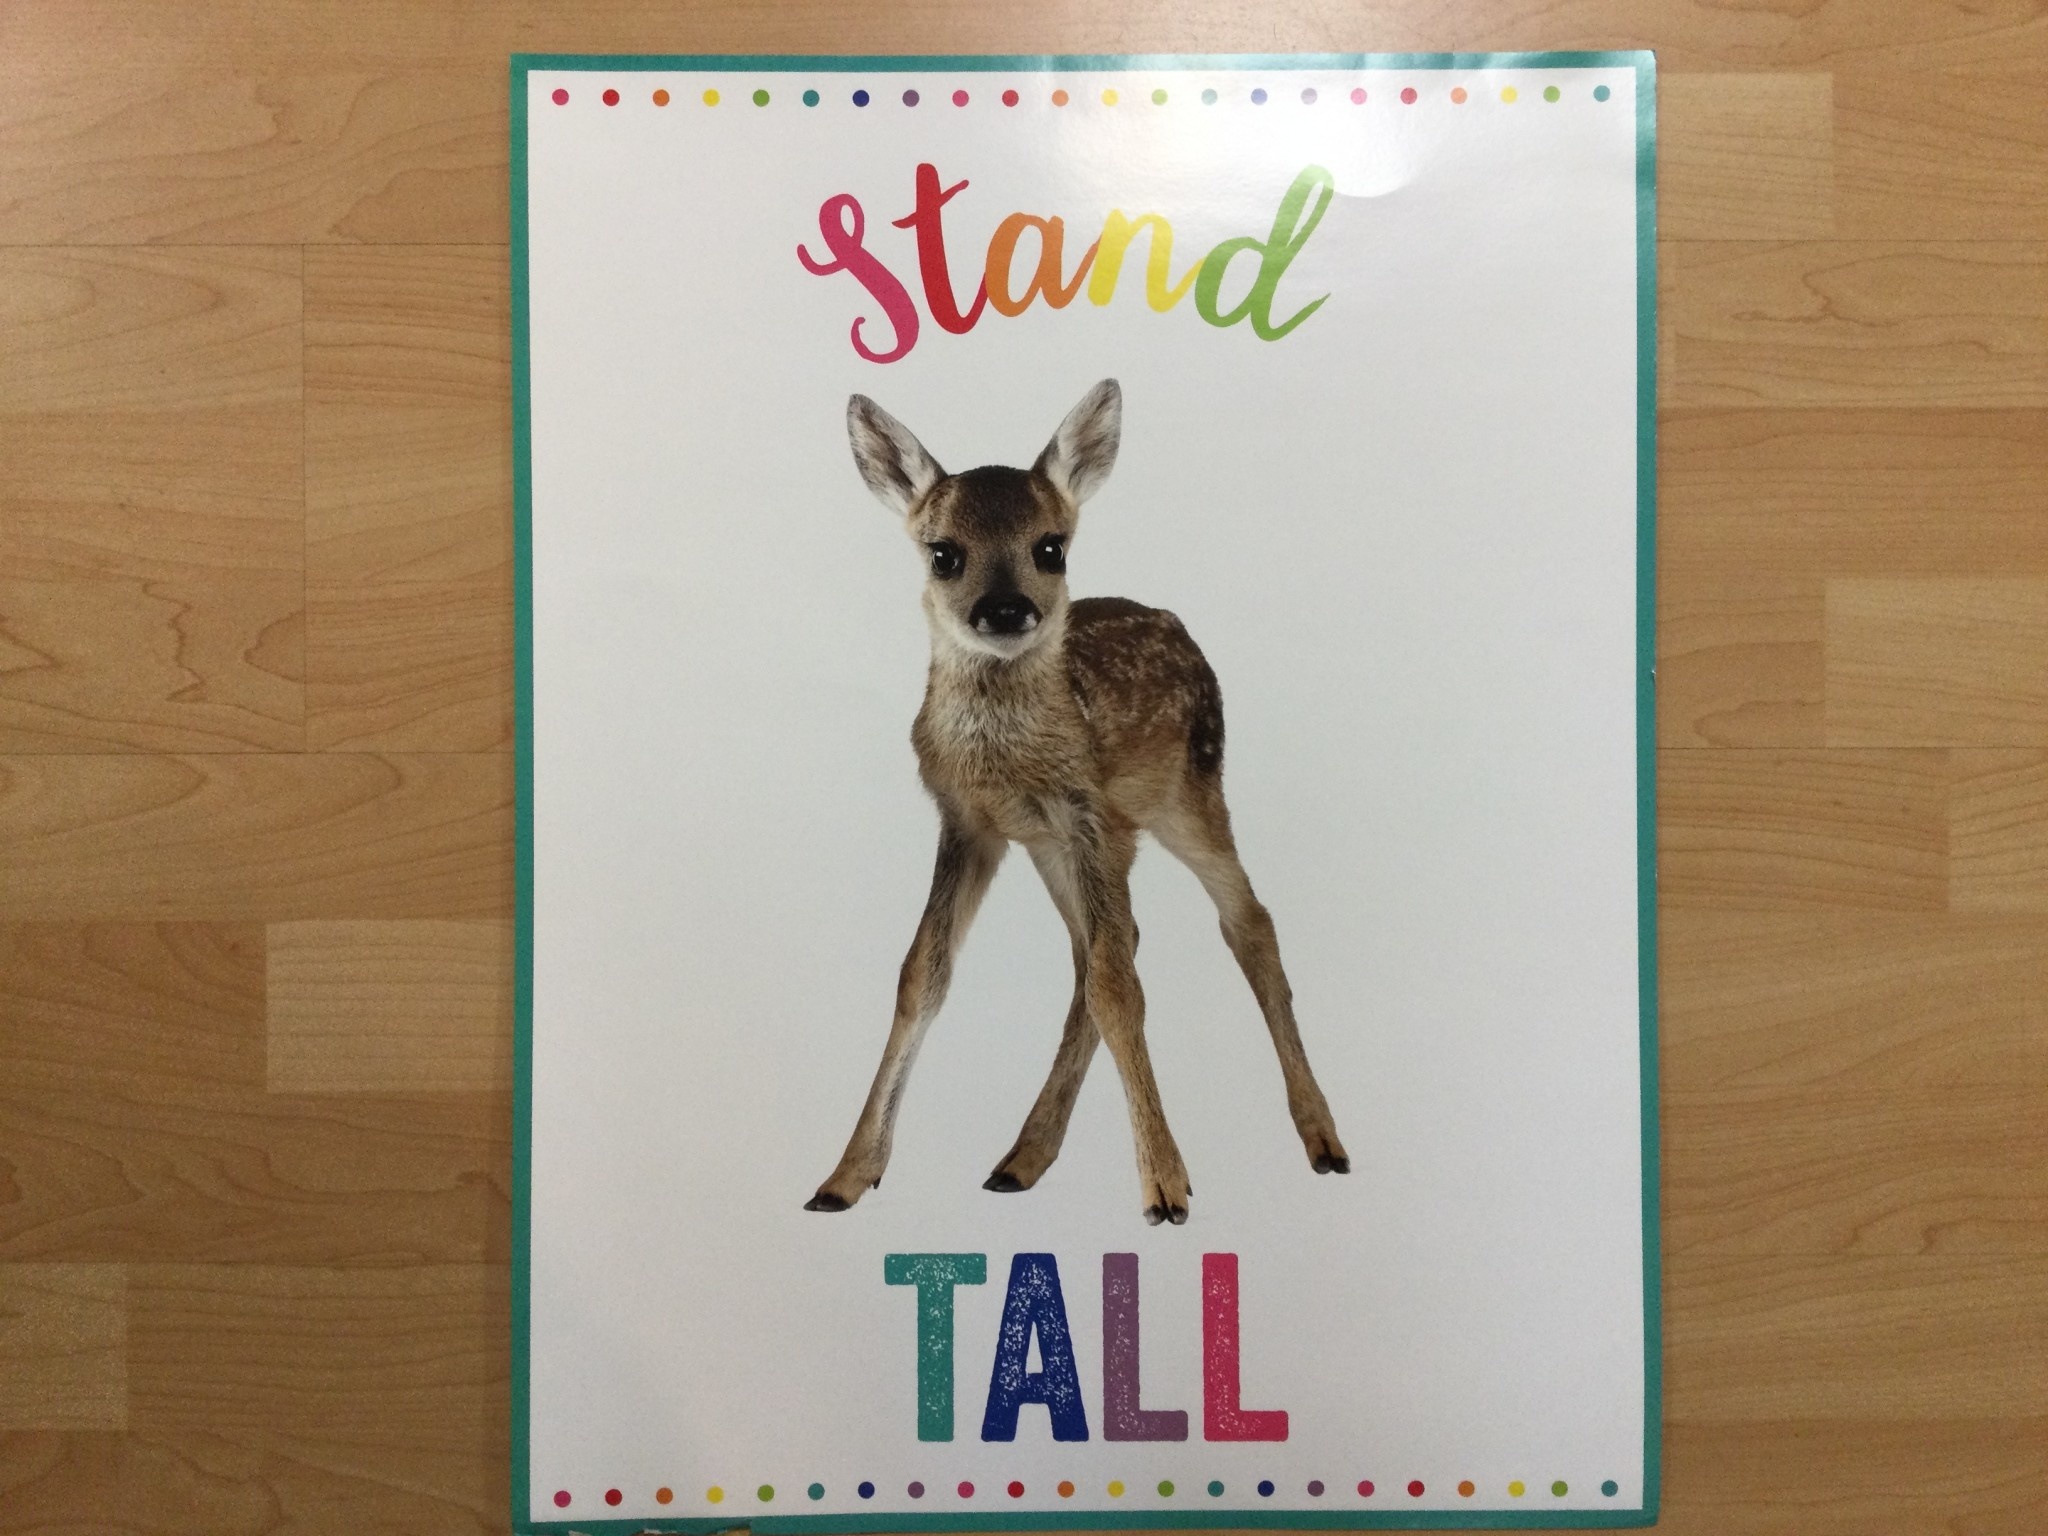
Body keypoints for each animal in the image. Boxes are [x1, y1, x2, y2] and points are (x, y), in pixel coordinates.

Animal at [803, 379, 1348, 1225]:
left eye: (1051, 548)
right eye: (943, 552)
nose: (1005, 611)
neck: (1008, 758)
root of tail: (1176, 624)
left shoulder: (1087, 810)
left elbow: (1117, 987)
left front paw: (1166, 1189)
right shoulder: (973, 823)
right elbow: (923, 973)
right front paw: (844, 1176)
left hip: (1189, 794)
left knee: (1245, 922)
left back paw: (1323, 1140)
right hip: (1066, 847)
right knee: (1102, 950)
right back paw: (1020, 1159)